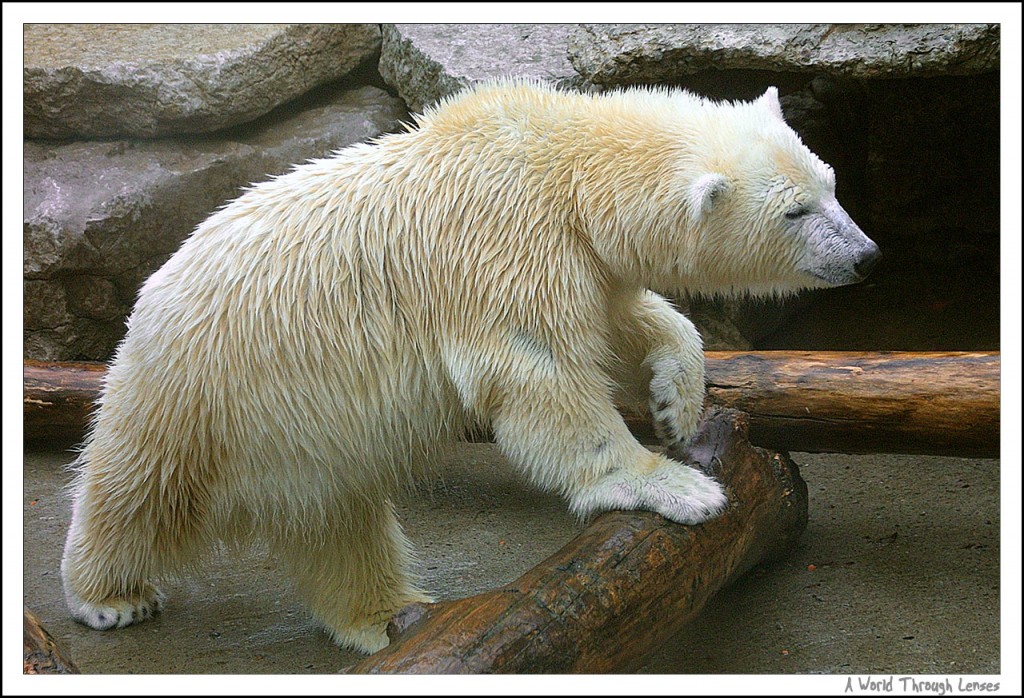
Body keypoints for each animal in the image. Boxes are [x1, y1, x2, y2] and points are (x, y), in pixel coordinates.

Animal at [61, 80, 880, 654]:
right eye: (796, 211)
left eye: (833, 185)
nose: (868, 254)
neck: (563, 163)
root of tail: (152, 294)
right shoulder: (501, 242)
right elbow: (539, 374)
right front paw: (675, 486)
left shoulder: (581, 257)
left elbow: (623, 320)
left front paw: (676, 401)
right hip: (202, 385)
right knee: (139, 486)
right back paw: (109, 595)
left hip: (305, 433)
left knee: (338, 516)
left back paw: (383, 614)